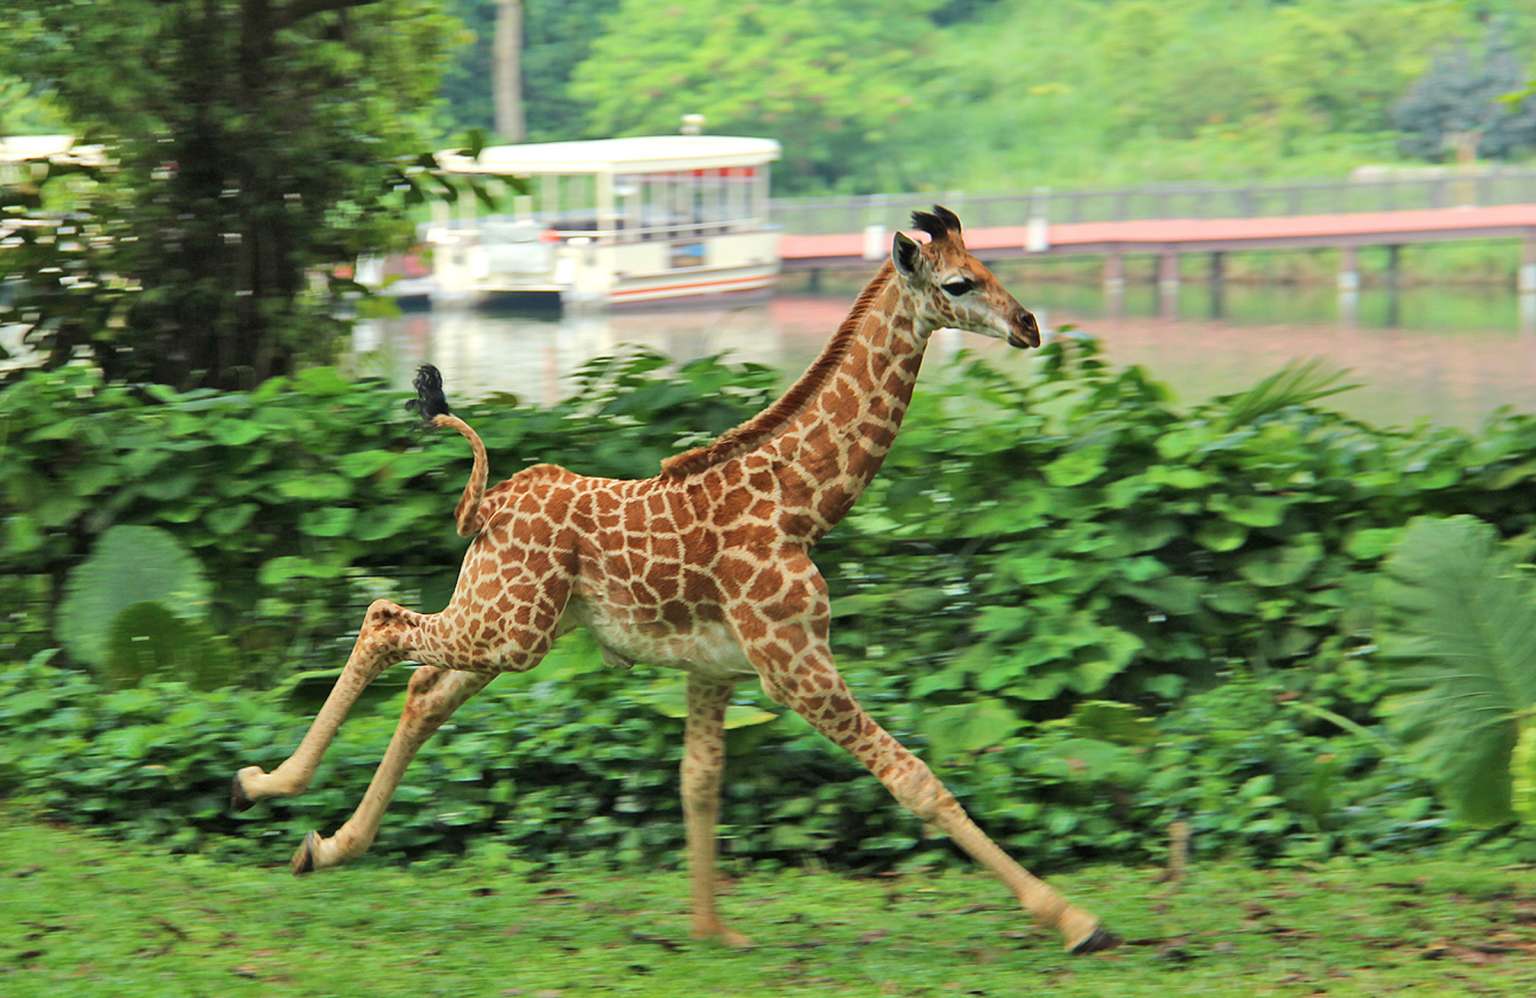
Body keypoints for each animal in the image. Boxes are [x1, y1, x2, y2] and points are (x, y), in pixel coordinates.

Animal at [230, 206, 1119, 955]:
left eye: (990, 266)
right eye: (959, 283)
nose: (1030, 325)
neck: (805, 504)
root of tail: (488, 504)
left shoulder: (717, 669)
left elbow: (699, 783)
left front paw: (714, 930)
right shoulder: (795, 662)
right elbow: (916, 780)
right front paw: (1077, 921)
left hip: (512, 626)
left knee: (421, 691)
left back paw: (320, 843)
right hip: (509, 629)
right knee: (384, 622)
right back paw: (264, 784)